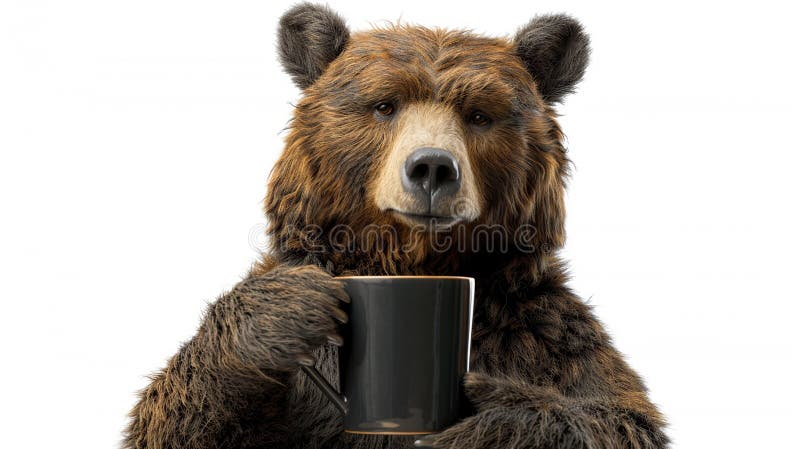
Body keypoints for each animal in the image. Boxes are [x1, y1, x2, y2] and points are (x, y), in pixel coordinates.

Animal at [124, 3, 668, 449]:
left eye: (479, 115)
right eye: (384, 104)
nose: (432, 168)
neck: (411, 260)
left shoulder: (536, 333)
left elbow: (615, 416)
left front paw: (485, 419)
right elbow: (168, 420)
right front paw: (286, 309)